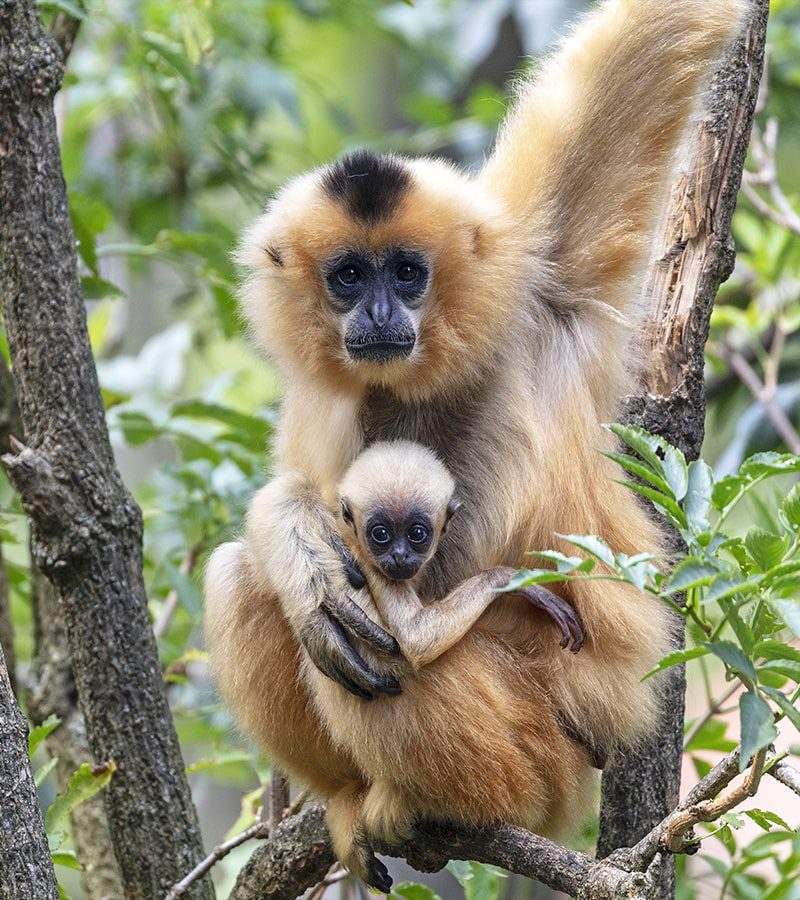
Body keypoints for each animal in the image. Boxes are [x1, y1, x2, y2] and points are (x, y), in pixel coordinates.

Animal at [204, 0, 744, 889]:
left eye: (407, 272)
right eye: (349, 275)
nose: (379, 312)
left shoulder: (538, 279)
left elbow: (653, 40)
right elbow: (301, 508)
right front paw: (298, 541)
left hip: (546, 743)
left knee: (382, 654)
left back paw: (423, 803)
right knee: (246, 578)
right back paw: (349, 797)